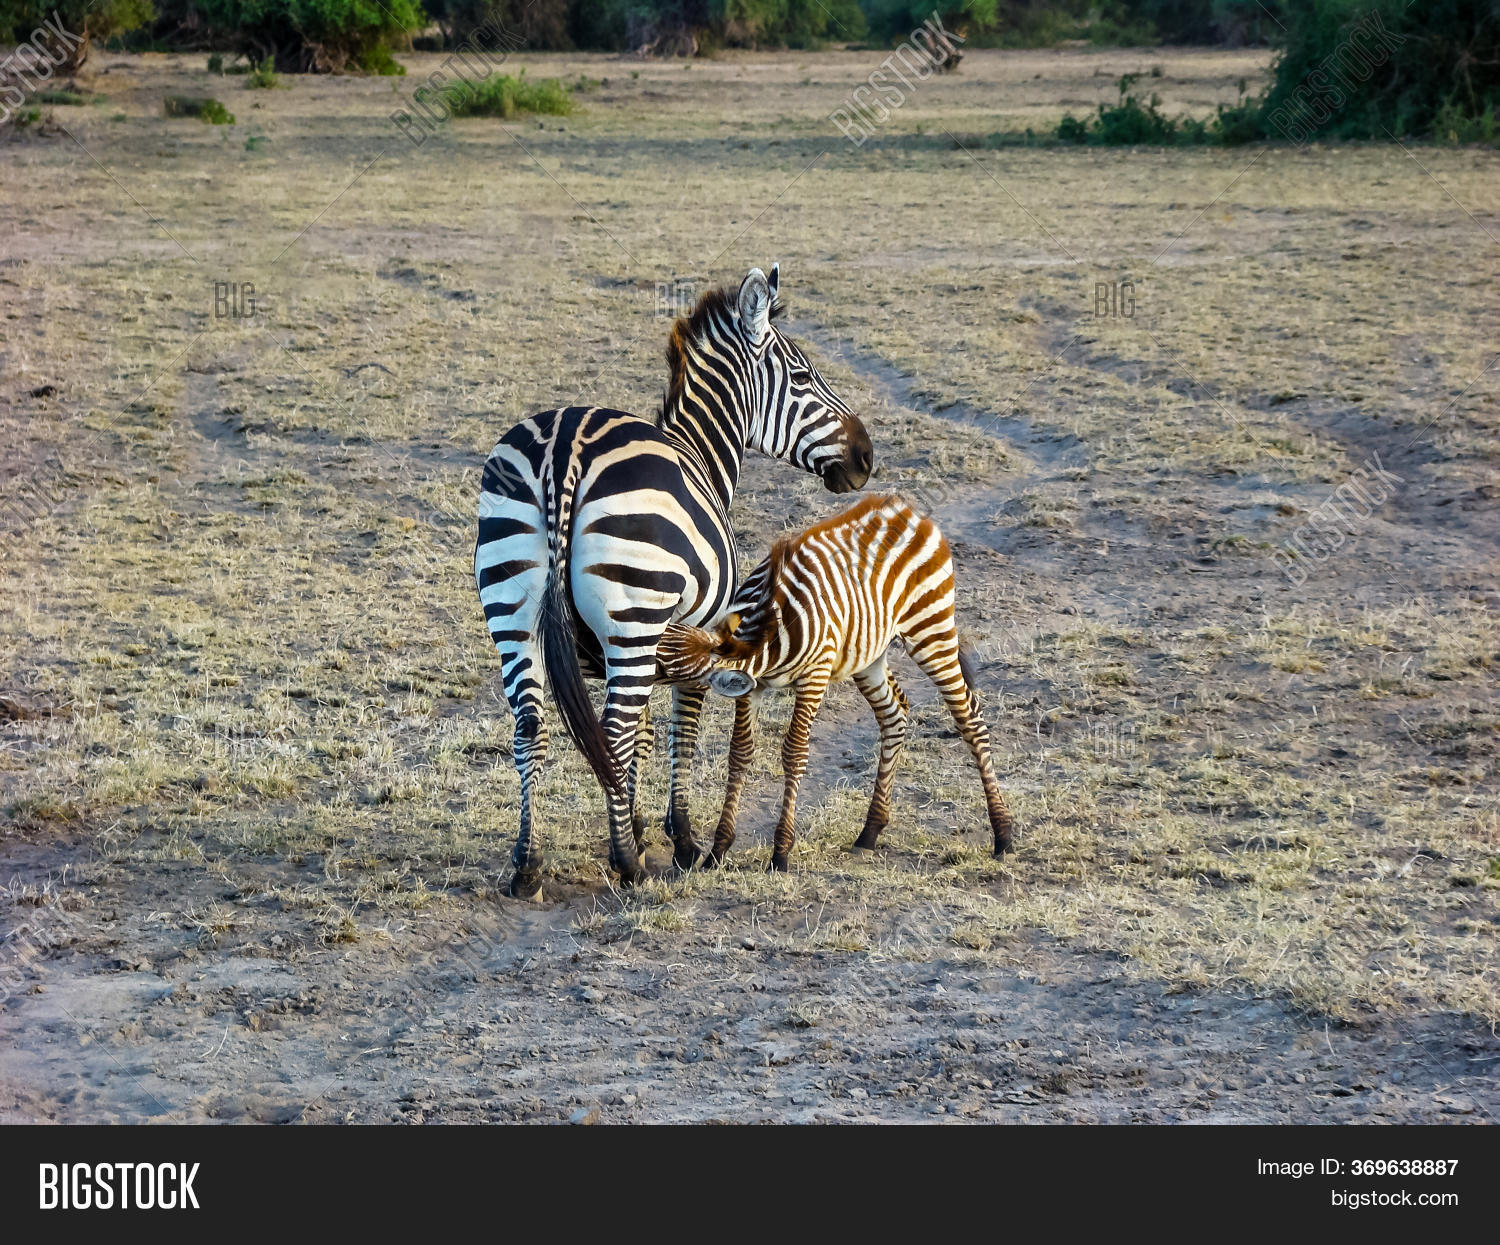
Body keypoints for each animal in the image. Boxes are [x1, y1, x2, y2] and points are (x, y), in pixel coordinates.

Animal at [474, 264, 873, 897]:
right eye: (803, 376)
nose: (866, 456)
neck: (701, 454)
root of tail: (565, 447)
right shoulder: (694, 638)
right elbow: (677, 728)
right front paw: (677, 841)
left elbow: (635, 738)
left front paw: (634, 825)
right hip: (632, 612)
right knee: (610, 729)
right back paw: (627, 869)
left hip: (514, 609)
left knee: (533, 725)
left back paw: (528, 865)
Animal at [656, 494, 1014, 871]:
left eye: (661, 665)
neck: (765, 632)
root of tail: (903, 508)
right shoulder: (753, 686)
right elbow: (739, 752)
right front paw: (718, 849)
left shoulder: (814, 676)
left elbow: (794, 752)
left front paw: (780, 853)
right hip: (869, 652)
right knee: (894, 713)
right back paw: (869, 833)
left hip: (931, 628)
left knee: (968, 715)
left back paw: (1003, 835)